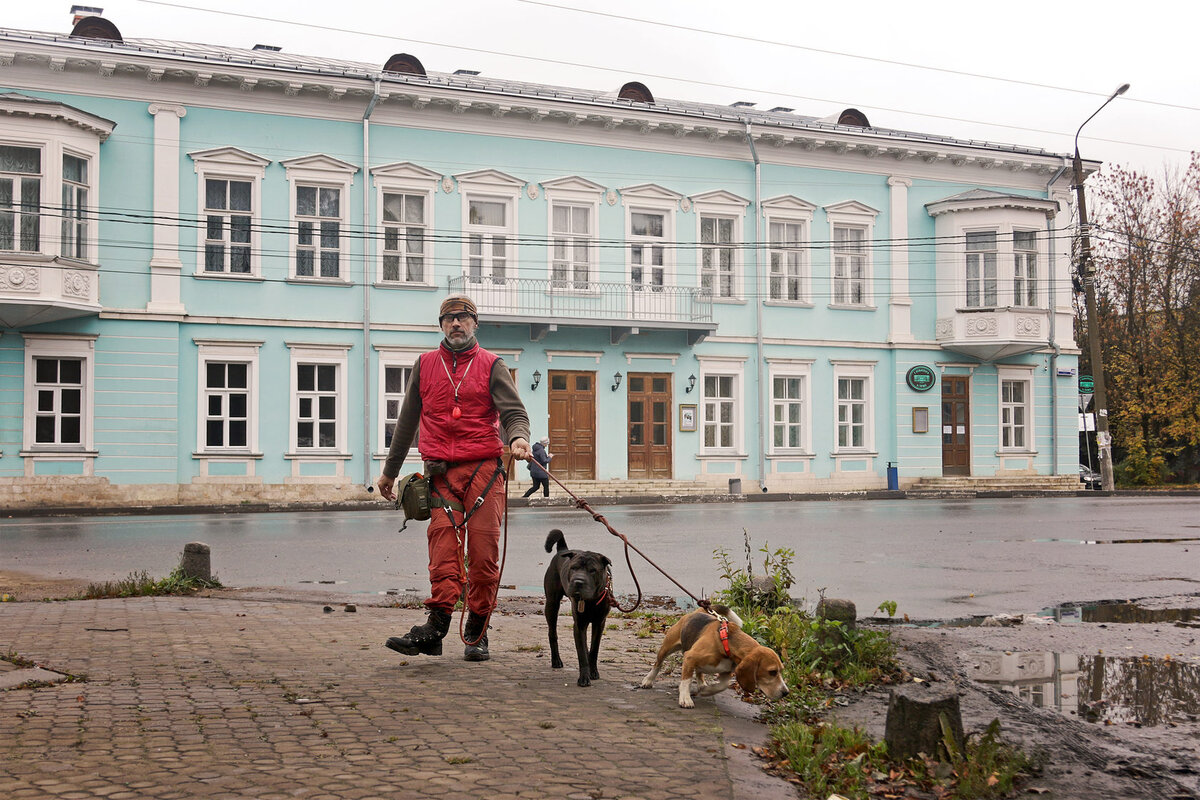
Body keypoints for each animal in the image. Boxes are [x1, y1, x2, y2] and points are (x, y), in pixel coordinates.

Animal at [549, 527, 614, 686]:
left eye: (592, 570)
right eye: (573, 568)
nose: (578, 581)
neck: (590, 600)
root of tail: (563, 549)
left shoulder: (599, 622)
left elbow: (593, 649)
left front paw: (593, 671)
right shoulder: (579, 625)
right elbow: (582, 653)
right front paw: (584, 677)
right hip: (552, 603)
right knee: (552, 633)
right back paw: (556, 660)